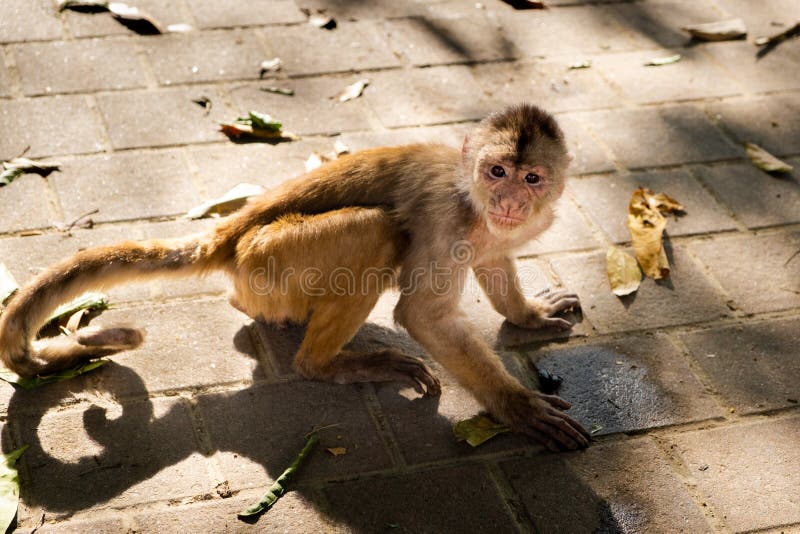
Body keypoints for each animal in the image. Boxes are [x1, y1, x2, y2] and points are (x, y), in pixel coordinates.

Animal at [0, 103, 590, 451]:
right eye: (497, 172)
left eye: (532, 179)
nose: (509, 200)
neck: (477, 207)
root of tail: (234, 231)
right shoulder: (448, 217)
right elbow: (423, 315)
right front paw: (517, 407)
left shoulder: (496, 235)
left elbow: (494, 262)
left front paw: (529, 316)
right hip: (268, 260)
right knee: (380, 232)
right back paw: (324, 364)